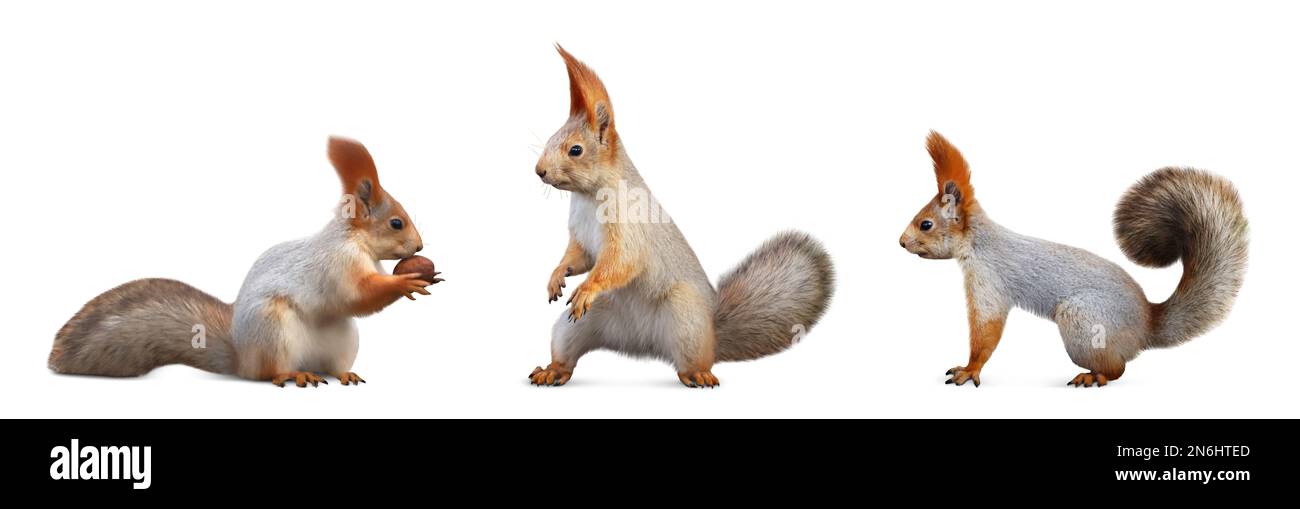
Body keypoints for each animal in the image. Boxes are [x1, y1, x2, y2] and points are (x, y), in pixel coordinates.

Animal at [48, 137, 436, 387]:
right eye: (396, 223)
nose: (420, 246)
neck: (353, 240)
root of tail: (241, 359)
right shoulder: (337, 264)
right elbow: (358, 295)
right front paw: (406, 282)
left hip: (343, 340)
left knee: (331, 367)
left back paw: (343, 374)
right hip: (273, 330)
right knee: (268, 374)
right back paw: (292, 375)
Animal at [530, 46, 836, 388]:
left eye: (576, 150)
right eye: (551, 138)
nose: (539, 171)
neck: (587, 196)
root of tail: (639, 343)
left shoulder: (629, 225)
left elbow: (621, 261)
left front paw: (587, 288)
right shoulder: (580, 237)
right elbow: (578, 257)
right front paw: (557, 275)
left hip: (684, 316)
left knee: (693, 359)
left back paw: (698, 374)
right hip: (579, 325)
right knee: (567, 347)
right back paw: (553, 370)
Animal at [900, 131, 1249, 387]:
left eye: (926, 224)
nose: (901, 242)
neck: (980, 241)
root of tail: (1147, 324)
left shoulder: (988, 279)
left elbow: (986, 330)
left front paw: (969, 369)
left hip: (1083, 320)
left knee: (1118, 369)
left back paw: (1093, 376)